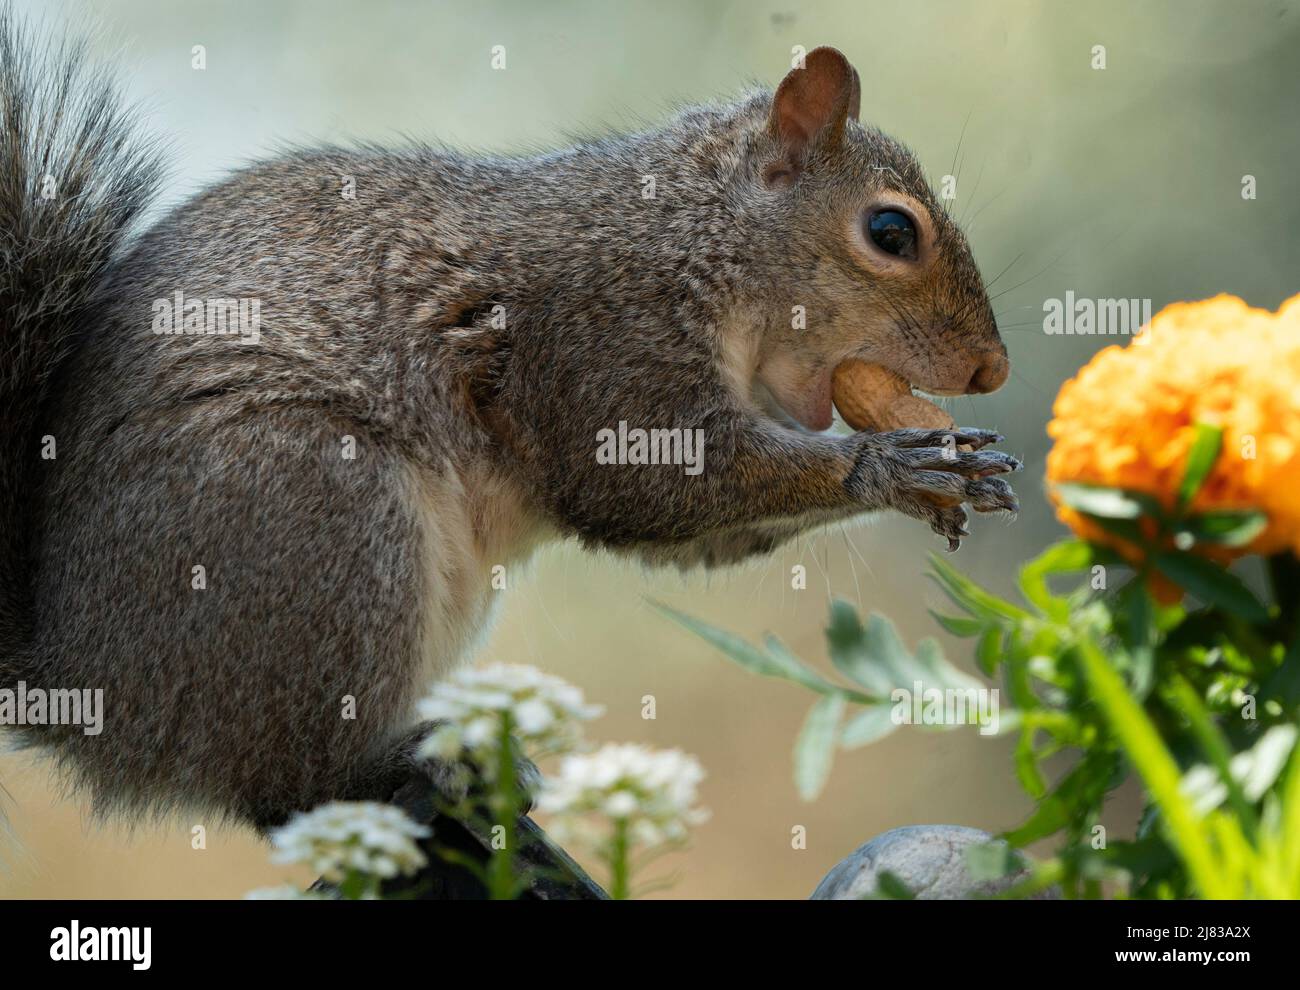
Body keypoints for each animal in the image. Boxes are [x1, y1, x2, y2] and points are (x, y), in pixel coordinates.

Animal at [0, 14, 1019, 834]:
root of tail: (79, 683)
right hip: (318, 517)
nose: (991, 370)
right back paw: (404, 766)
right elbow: (654, 485)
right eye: (890, 233)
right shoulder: (605, 338)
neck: (691, 234)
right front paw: (895, 462)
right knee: (282, 785)